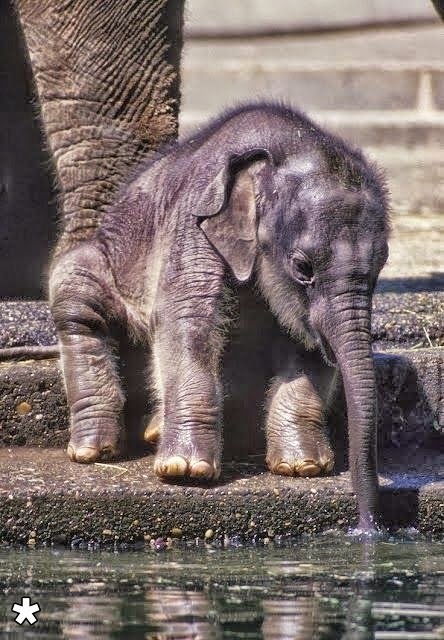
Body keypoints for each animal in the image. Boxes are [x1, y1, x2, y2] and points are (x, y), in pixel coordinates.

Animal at [49, 101, 389, 533]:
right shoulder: (193, 223)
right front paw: (184, 472)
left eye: (381, 267)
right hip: (105, 258)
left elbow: (304, 341)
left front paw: (304, 468)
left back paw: (154, 431)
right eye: (302, 267)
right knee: (75, 296)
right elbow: (187, 319)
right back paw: (94, 451)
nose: (367, 525)